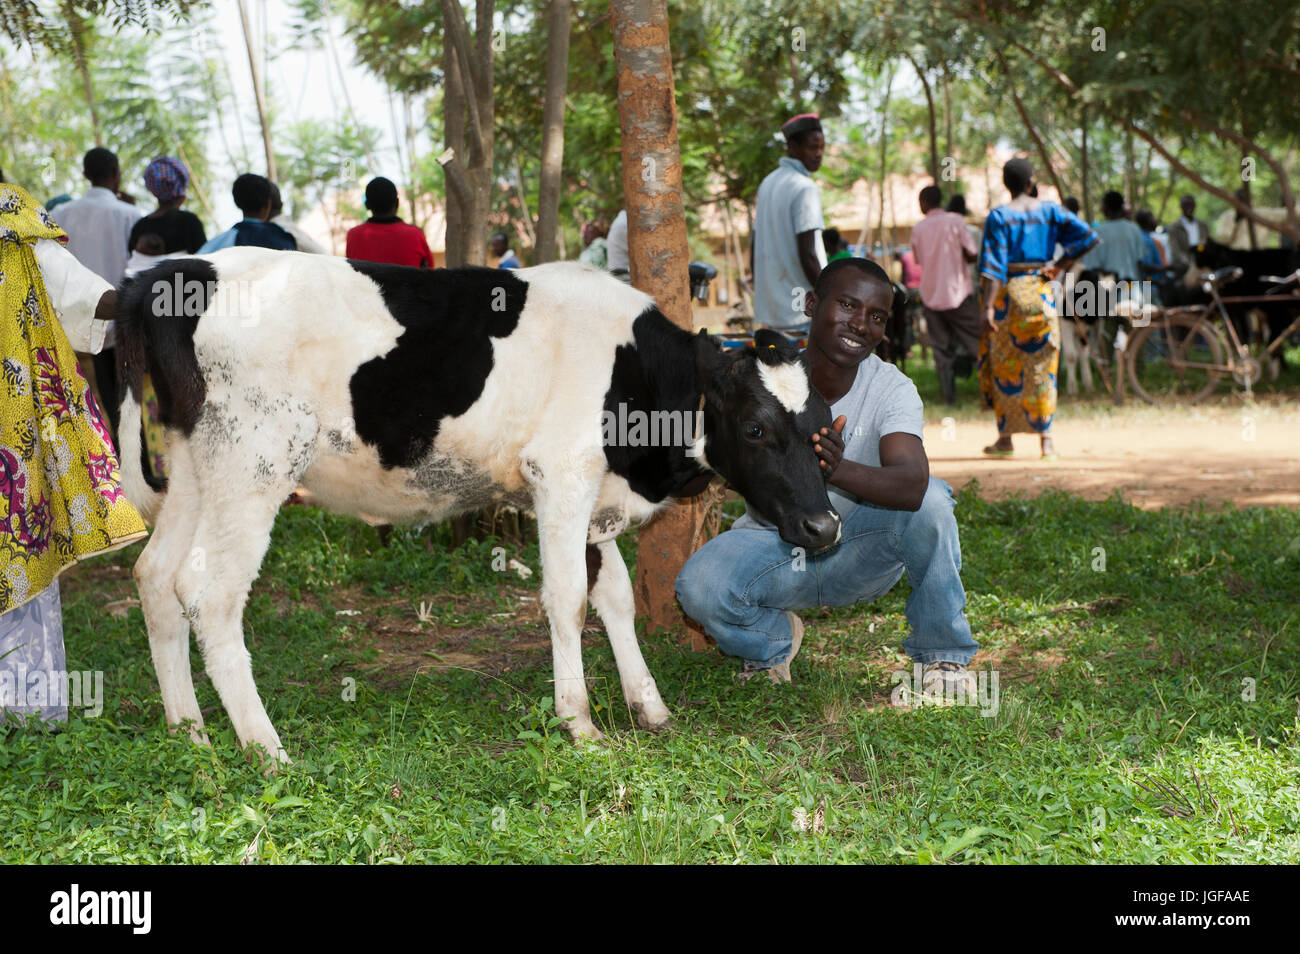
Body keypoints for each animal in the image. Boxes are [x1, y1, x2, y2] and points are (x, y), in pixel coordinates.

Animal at [113, 248, 840, 763]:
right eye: (755, 429)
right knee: (207, 592)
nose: (824, 525)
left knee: (155, 577)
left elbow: (615, 597)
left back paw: (189, 733)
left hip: (197, 464)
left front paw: (649, 705)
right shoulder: (562, 472)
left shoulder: (592, 495)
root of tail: (179, 272)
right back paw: (266, 749)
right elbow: (567, 599)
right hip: (256, 460)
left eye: (821, 427)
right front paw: (579, 723)